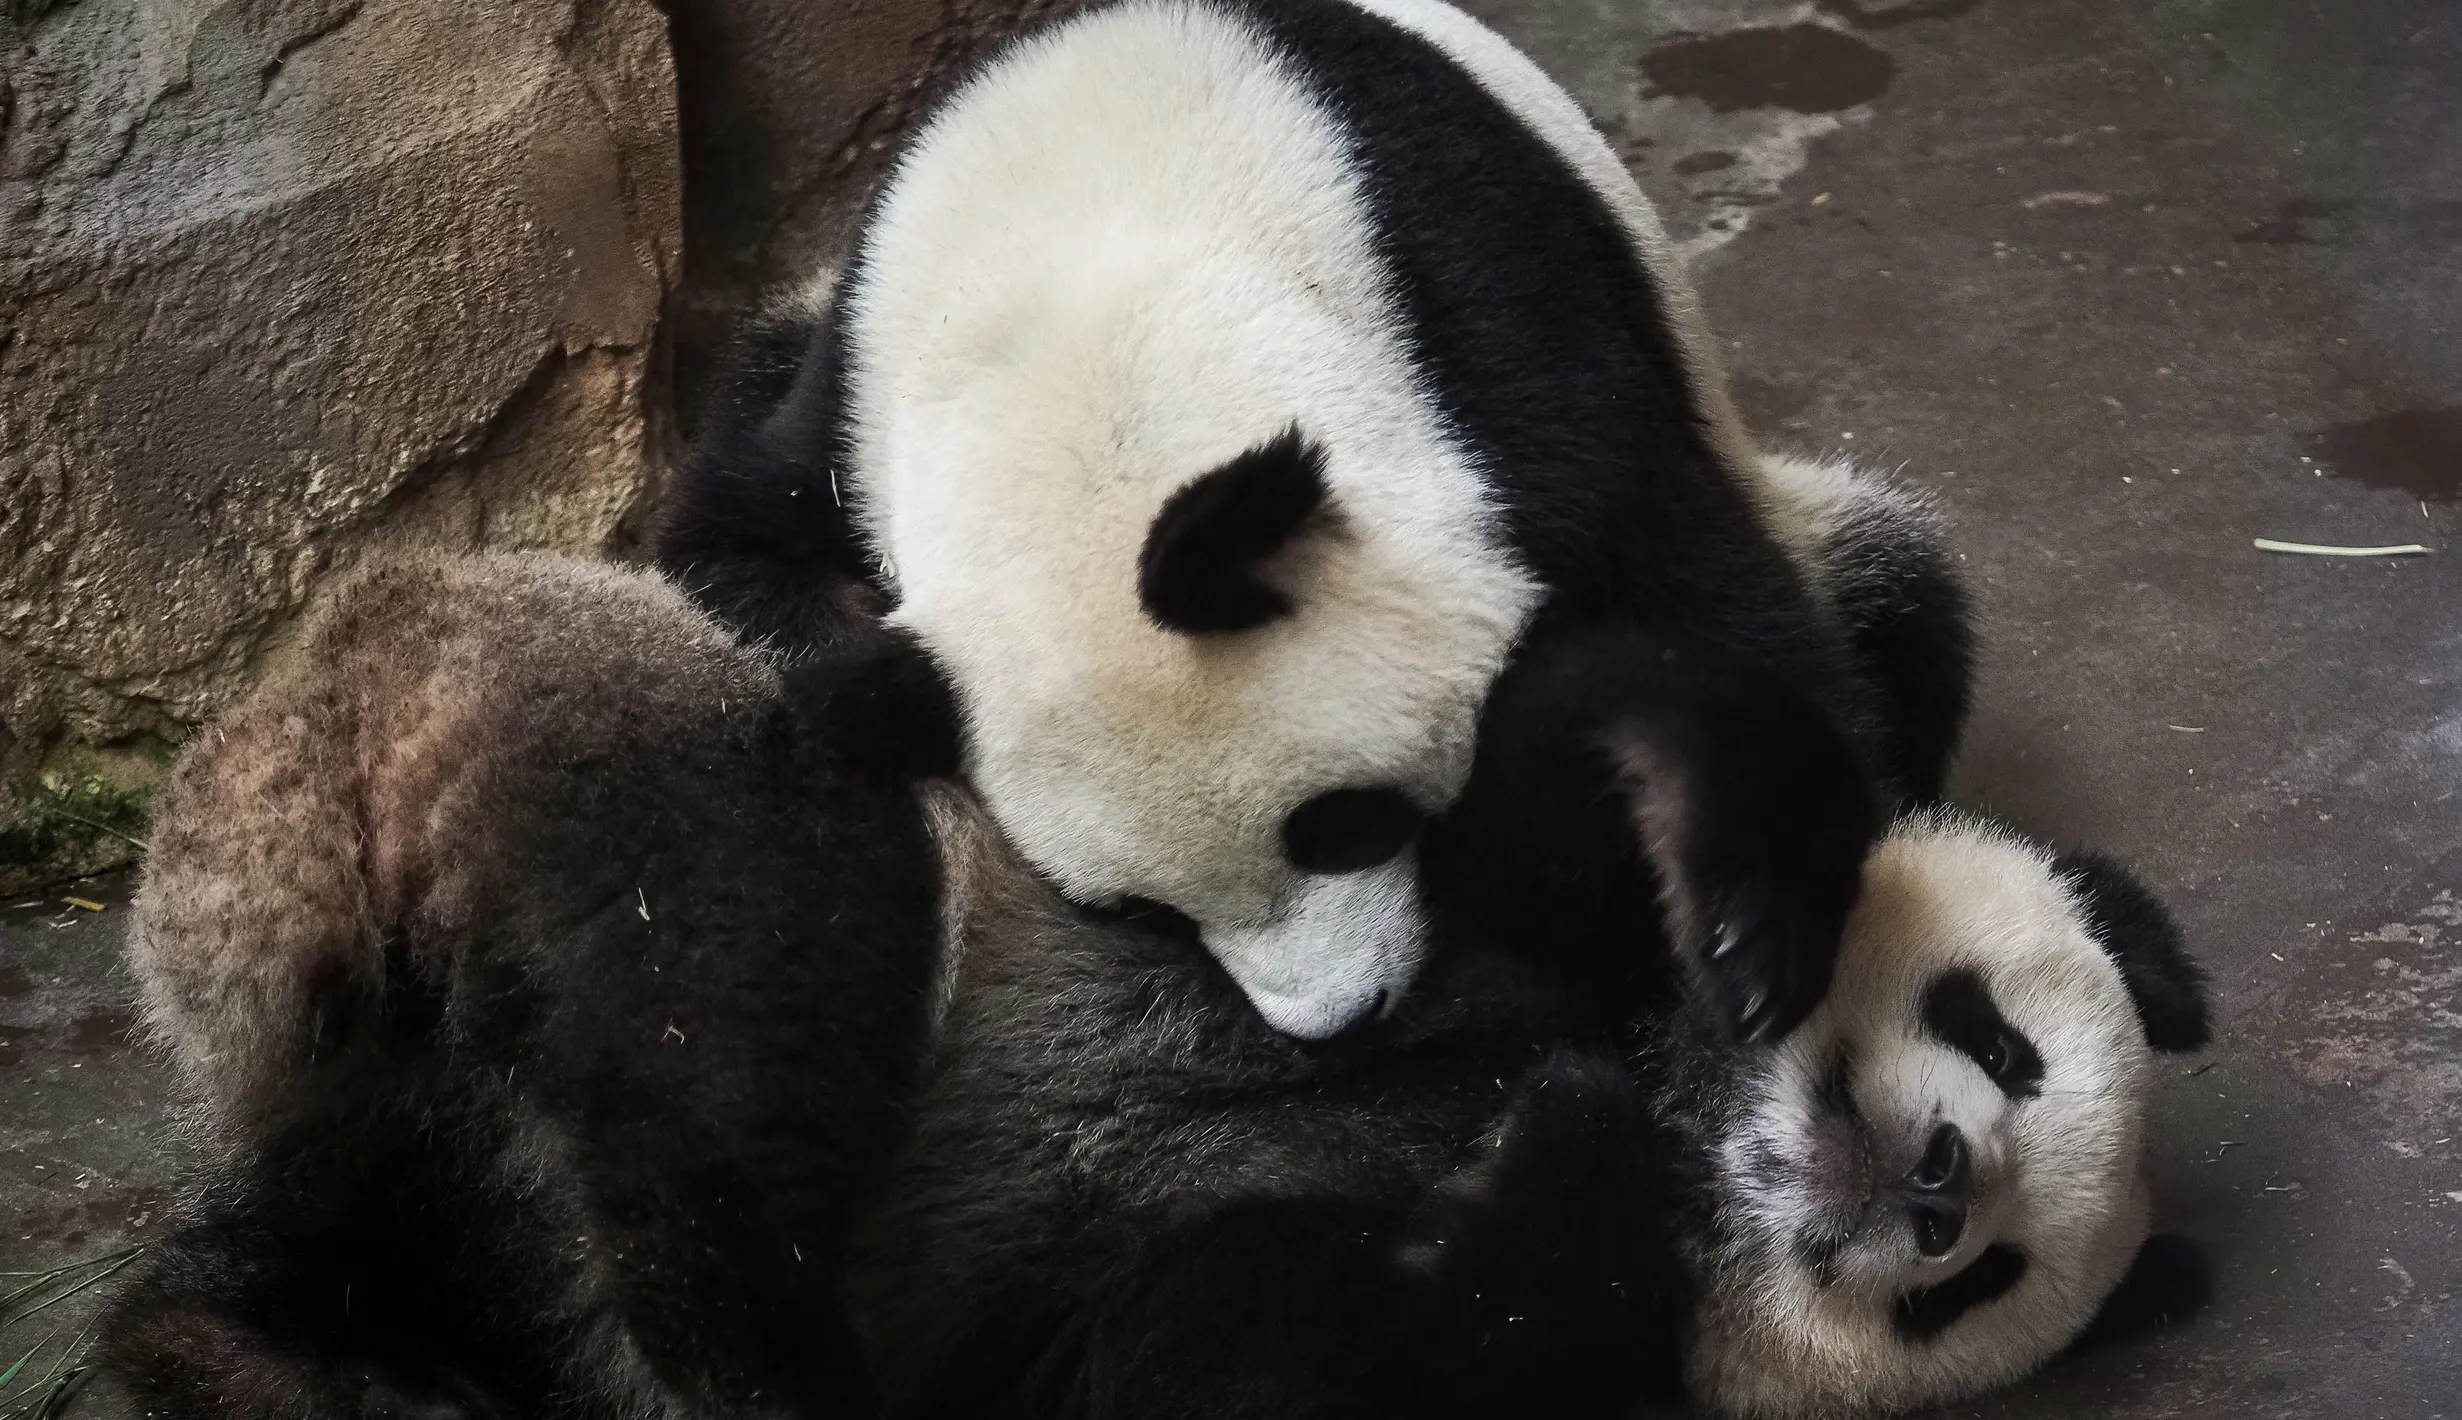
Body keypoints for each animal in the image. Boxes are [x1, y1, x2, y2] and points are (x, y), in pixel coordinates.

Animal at [656, 0, 1950, 1044]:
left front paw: (1731, 916)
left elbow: (1695, 596)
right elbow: (729, 557)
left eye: (1340, 823)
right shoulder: (846, 400)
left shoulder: (1482, 306)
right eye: (1143, 910)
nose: (1340, 1019)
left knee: (1899, 601)